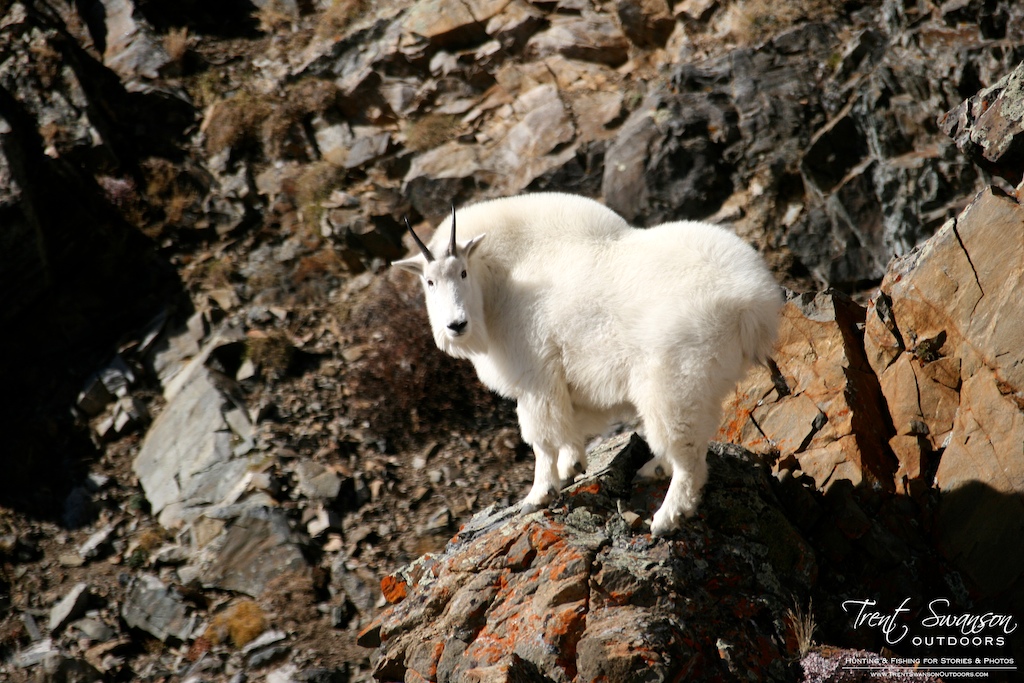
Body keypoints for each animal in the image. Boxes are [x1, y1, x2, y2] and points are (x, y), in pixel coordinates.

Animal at [393, 192, 781, 536]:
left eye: (462, 273)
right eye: (429, 281)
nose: (456, 325)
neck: (504, 276)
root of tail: (753, 302)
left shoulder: (536, 375)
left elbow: (541, 440)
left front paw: (537, 495)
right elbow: (569, 428)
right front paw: (572, 466)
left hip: (674, 378)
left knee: (686, 451)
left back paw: (667, 517)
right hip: (703, 381)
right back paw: (653, 470)